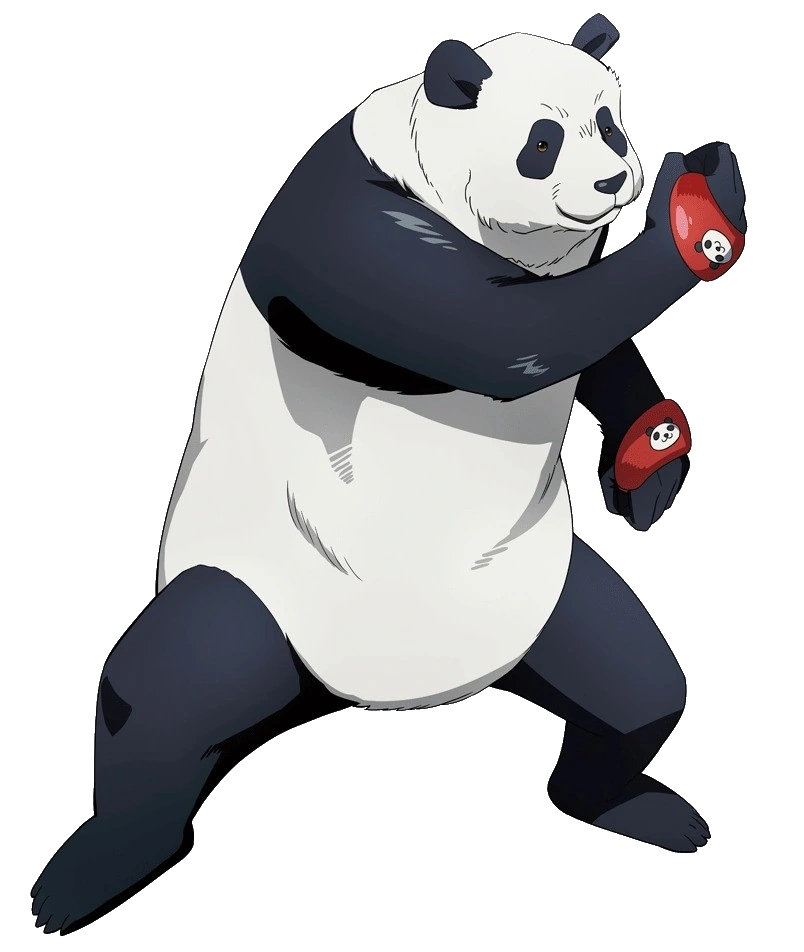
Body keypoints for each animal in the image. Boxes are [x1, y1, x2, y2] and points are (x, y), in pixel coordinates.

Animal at [33, 18, 746, 933]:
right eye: (541, 143)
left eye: (609, 126)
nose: (615, 179)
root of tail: (352, 695)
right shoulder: (356, 236)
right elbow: (509, 337)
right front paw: (705, 208)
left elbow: (589, 352)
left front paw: (650, 460)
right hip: (264, 587)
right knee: (171, 686)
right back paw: (95, 869)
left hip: (542, 597)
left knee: (637, 689)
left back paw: (627, 804)